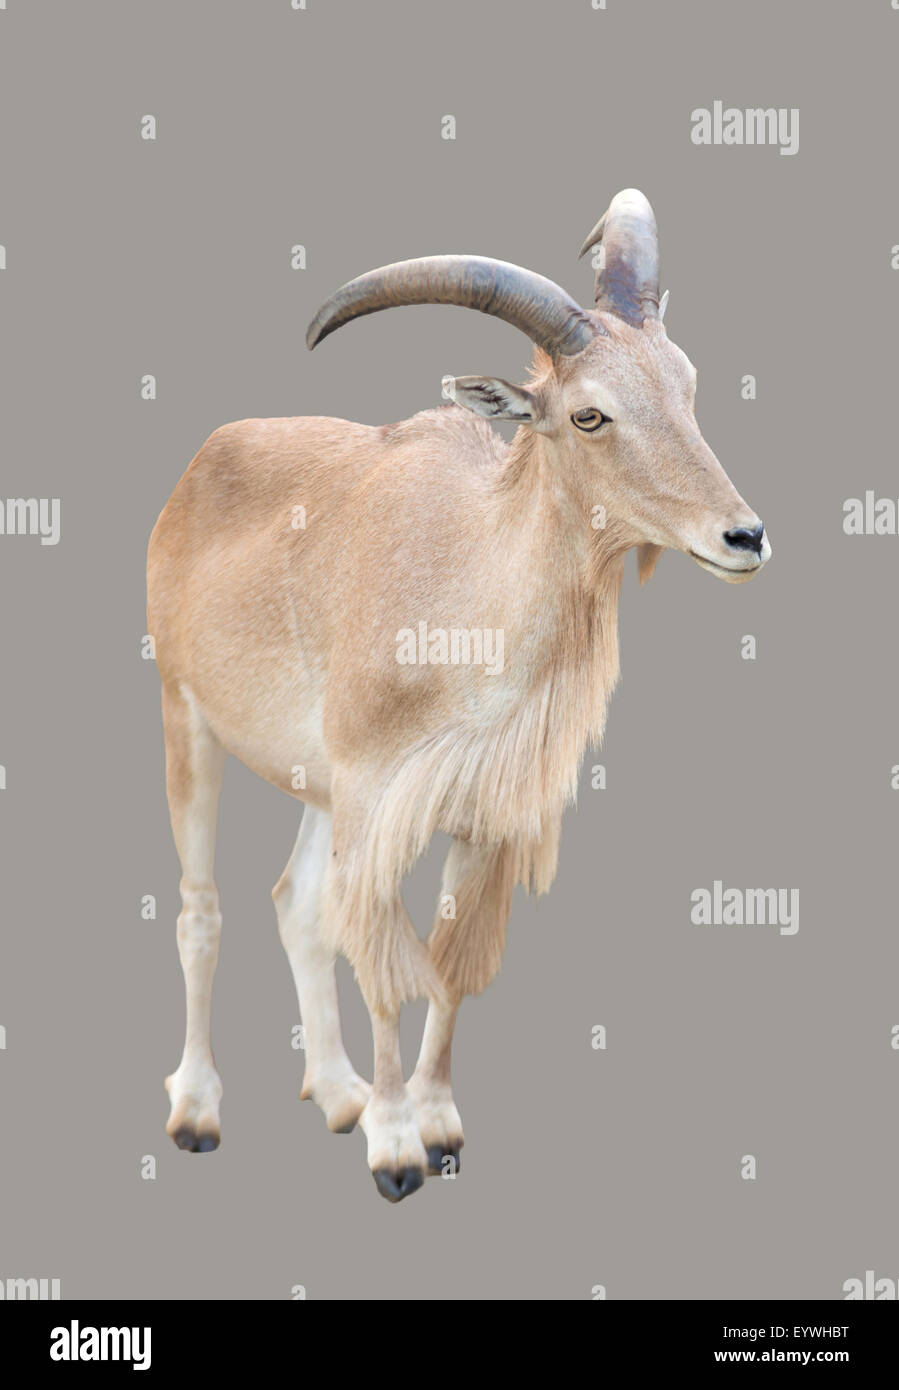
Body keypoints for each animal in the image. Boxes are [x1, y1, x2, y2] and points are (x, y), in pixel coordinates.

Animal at [146, 189, 771, 1201]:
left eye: (686, 386)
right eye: (589, 415)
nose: (743, 536)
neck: (467, 608)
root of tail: (202, 461)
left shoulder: (480, 812)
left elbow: (447, 964)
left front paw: (433, 1124)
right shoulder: (377, 799)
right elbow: (384, 964)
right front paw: (397, 1149)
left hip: (317, 780)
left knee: (296, 905)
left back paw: (338, 1094)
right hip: (184, 715)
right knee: (204, 911)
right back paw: (199, 1112)